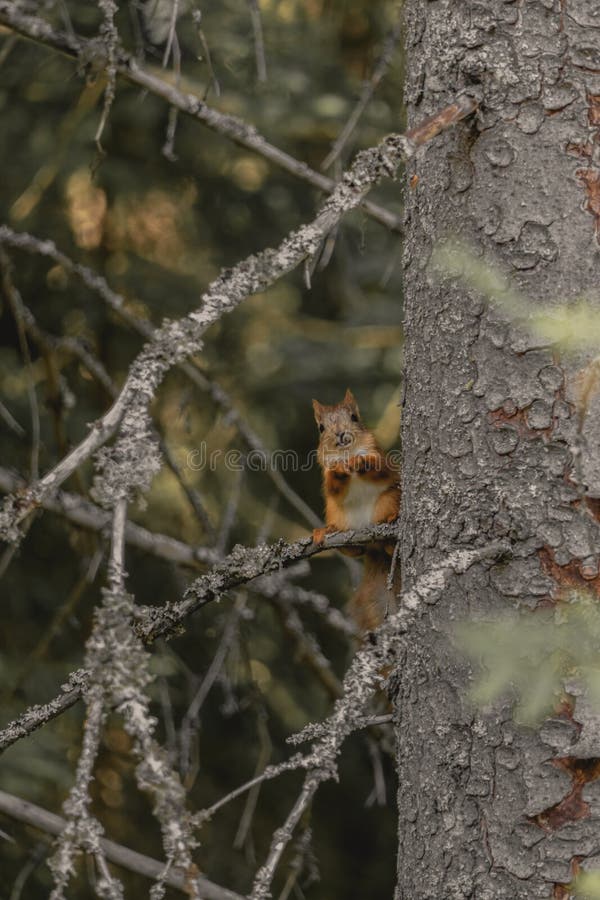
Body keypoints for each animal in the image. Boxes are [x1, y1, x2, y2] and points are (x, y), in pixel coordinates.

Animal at [312, 389, 401, 632]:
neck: (347, 455)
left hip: (388, 499)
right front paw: (338, 471)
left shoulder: (382, 459)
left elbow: (379, 467)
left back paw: (391, 523)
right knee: (355, 550)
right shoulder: (327, 477)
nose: (341, 434)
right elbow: (332, 485)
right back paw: (326, 532)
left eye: (354, 417)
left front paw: (362, 462)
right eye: (321, 427)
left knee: (388, 546)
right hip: (337, 514)